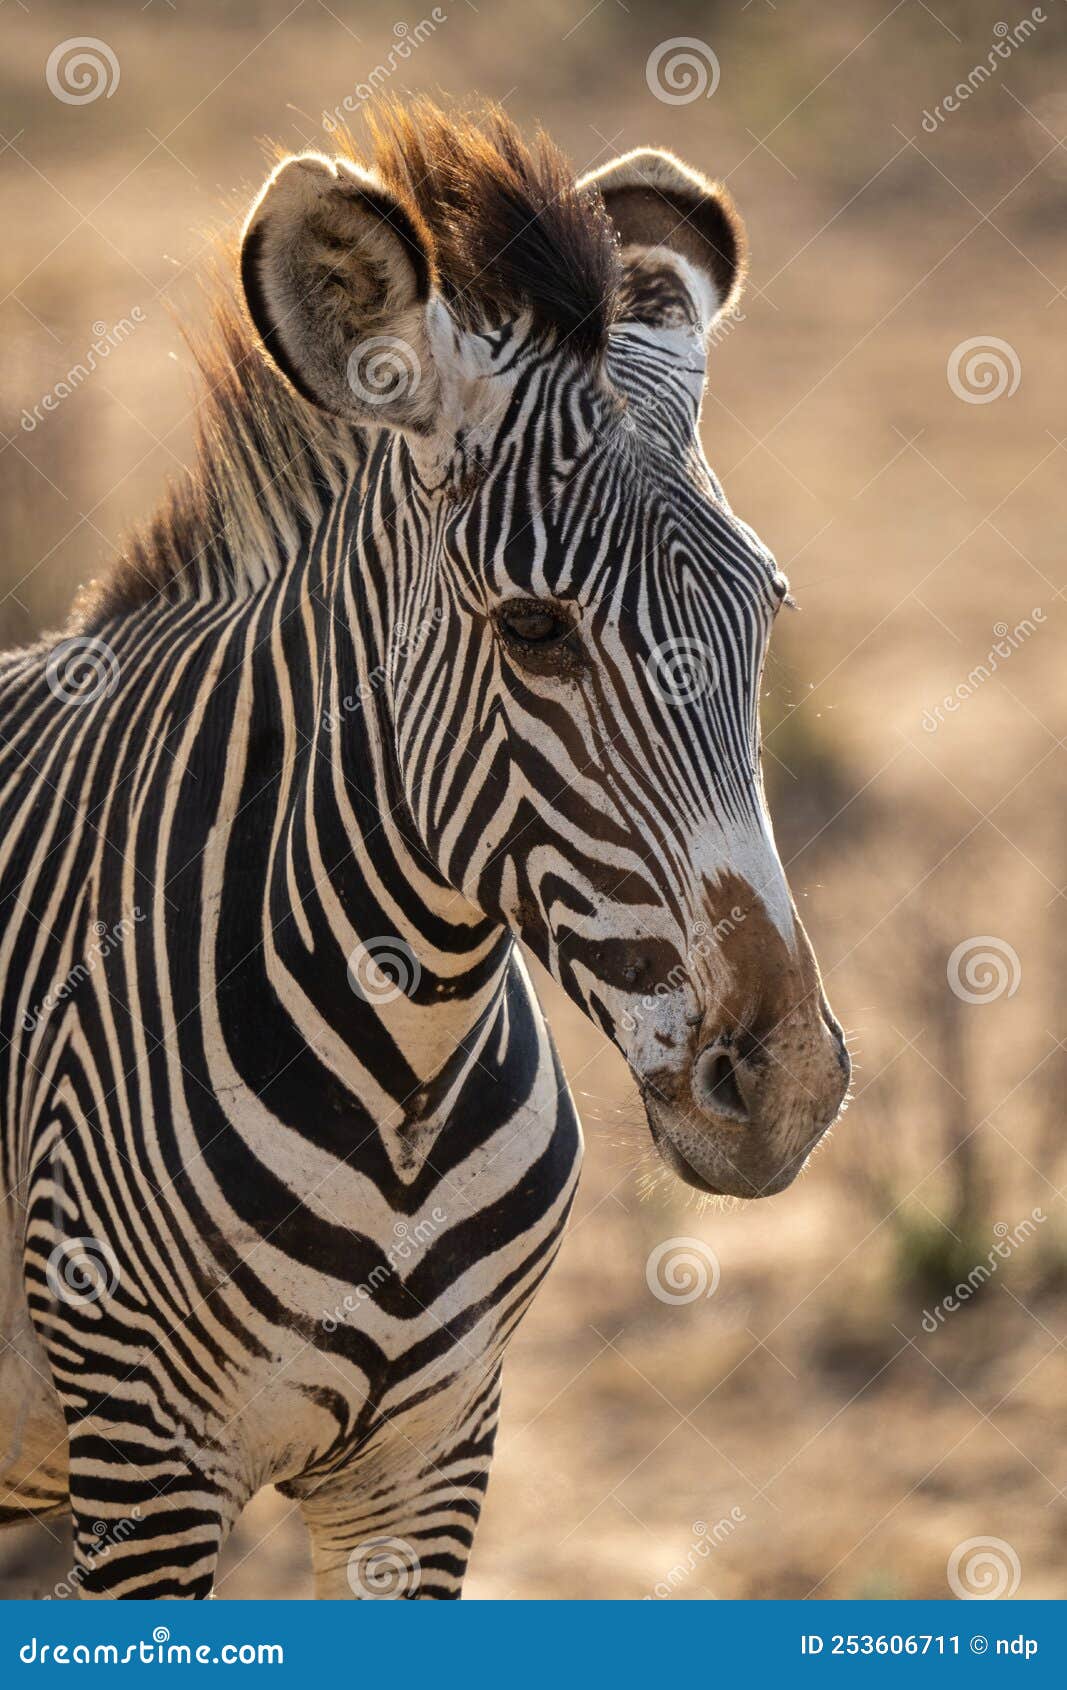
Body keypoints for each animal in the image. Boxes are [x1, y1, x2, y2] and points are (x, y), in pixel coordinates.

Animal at [0, 101, 850, 1599]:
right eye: (532, 629)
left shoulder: (428, 1465)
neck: (410, 1063)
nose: (788, 1085)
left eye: (767, 609)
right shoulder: (144, 1466)